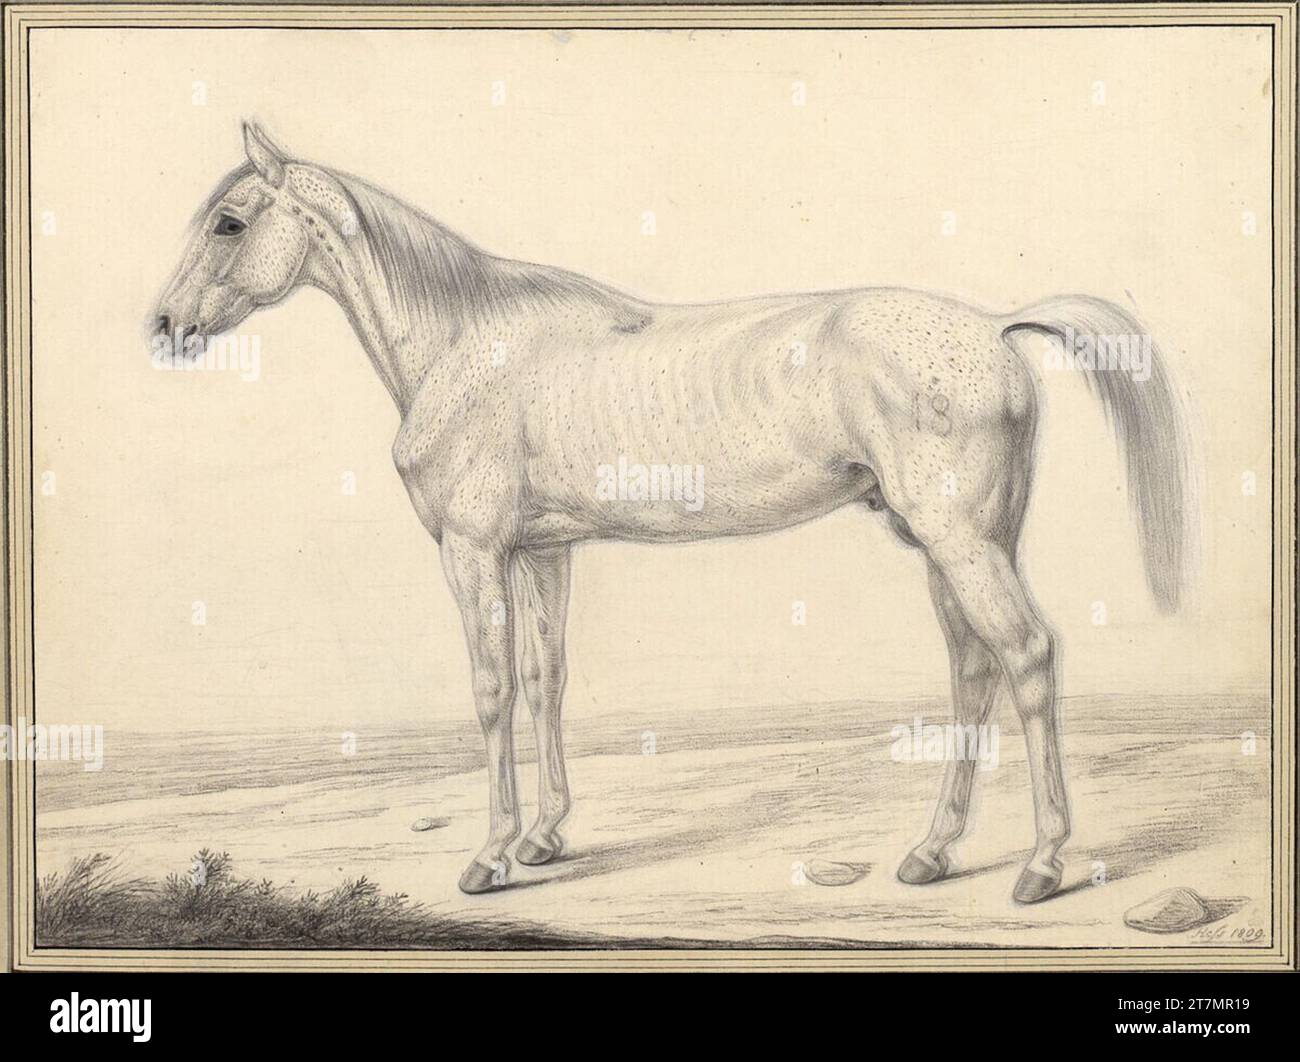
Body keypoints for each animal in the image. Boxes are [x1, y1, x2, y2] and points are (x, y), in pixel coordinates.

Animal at [155, 123, 1191, 905]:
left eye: (230, 222)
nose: (164, 326)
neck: (465, 342)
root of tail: (995, 328)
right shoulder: (542, 552)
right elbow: (545, 682)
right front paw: (544, 839)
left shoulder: (473, 550)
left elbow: (491, 692)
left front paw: (489, 857)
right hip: (949, 546)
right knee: (973, 668)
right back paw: (931, 854)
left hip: (963, 543)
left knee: (1028, 657)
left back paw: (1043, 865)